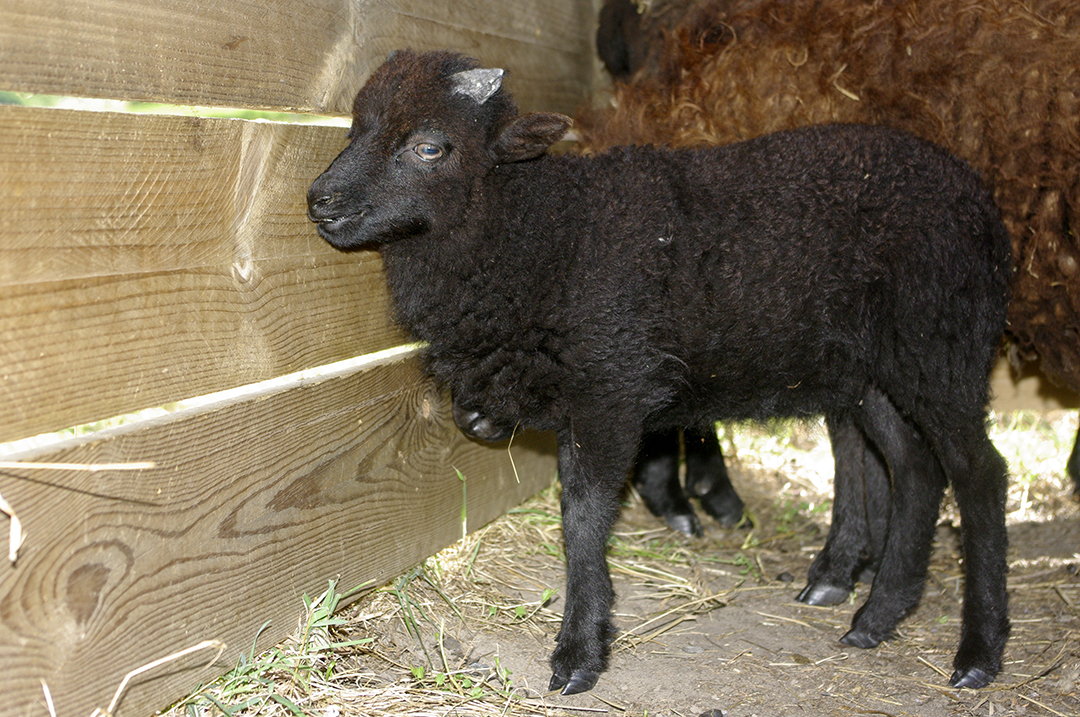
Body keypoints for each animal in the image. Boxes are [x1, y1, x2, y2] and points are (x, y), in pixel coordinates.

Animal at [311, 50, 1010, 695]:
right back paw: (877, 616)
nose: (321, 201)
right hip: (873, 375)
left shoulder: (611, 384)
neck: (548, 231)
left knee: (978, 473)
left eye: (429, 146)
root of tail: (984, 204)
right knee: (914, 468)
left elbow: (584, 516)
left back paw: (977, 651)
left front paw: (580, 652)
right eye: (356, 128)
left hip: (940, 349)